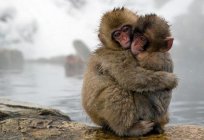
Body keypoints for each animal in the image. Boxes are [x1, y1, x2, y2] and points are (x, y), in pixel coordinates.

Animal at [81, 7, 177, 137]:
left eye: (125, 29)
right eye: (117, 34)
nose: (125, 39)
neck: (115, 48)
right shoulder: (117, 55)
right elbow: (130, 77)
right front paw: (170, 79)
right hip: (98, 111)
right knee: (117, 90)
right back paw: (128, 129)